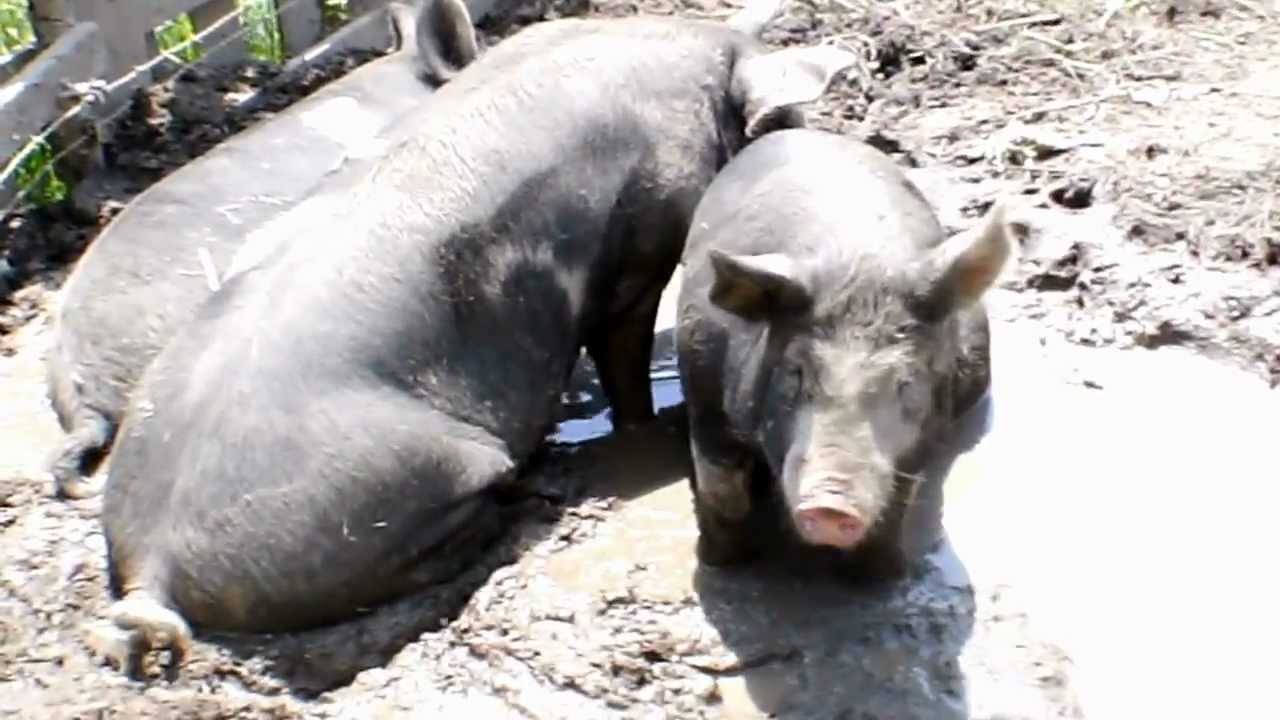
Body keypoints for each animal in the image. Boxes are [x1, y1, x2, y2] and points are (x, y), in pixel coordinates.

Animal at [88, 0, 858, 675]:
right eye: (779, 116)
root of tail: (153, 561)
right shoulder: (640, 254)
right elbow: (622, 354)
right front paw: (639, 426)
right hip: (407, 476)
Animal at [676, 128, 1027, 580]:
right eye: (796, 372)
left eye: (905, 383)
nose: (830, 504)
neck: (856, 264)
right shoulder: (703, 393)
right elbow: (720, 485)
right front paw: (723, 562)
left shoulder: (924, 437)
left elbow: (899, 496)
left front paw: (878, 578)